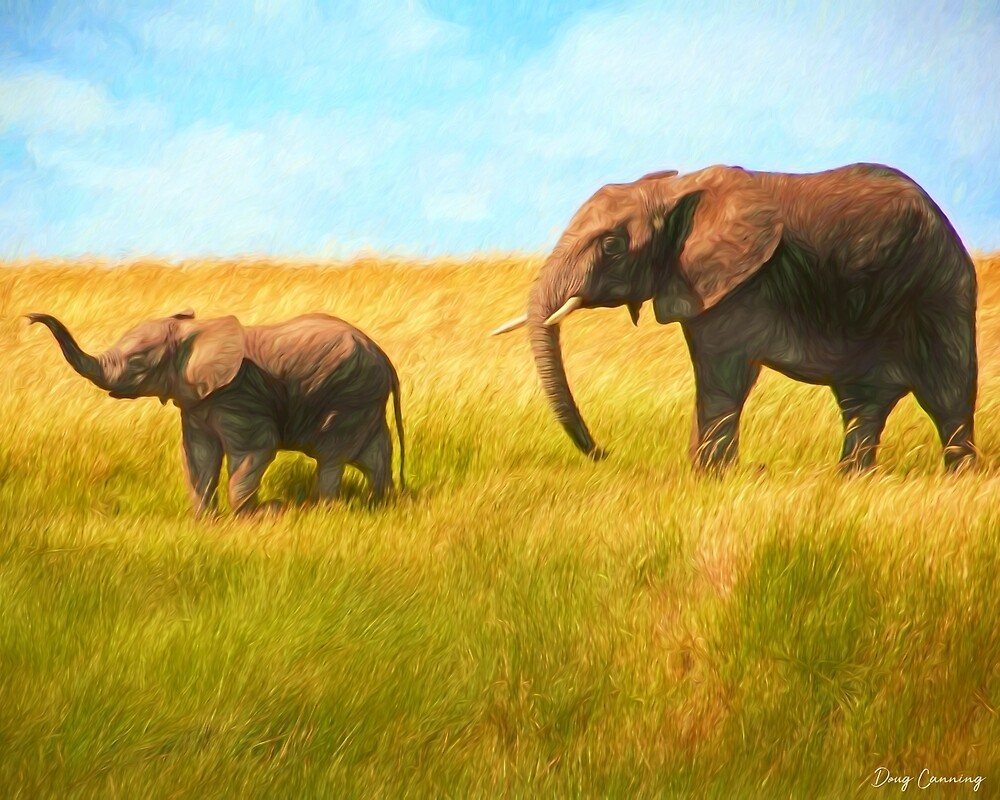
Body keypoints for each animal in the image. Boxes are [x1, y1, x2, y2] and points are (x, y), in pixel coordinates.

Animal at [28, 310, 405, 515]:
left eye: (136, 362)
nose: (31, 319)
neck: (193, 334)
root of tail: (384, 356)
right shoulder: (195, 400)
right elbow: (198, 455)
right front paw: (204, 522)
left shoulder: (239, 394)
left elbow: (255, 450)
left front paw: (258, 516)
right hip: (362, 397)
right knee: (373, 454)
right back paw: (379, 505)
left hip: (348, 394)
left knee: (332, 456)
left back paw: (324, 510)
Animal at [492, 163, 977, 472]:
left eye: (611, 245)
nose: (605, 454)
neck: (677, 190)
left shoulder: (744, 283)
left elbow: (723, 374)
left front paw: (709, 476)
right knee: (862, 404)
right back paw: (850, 479)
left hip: (939, 290)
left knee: (948, 396)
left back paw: (959, 479)